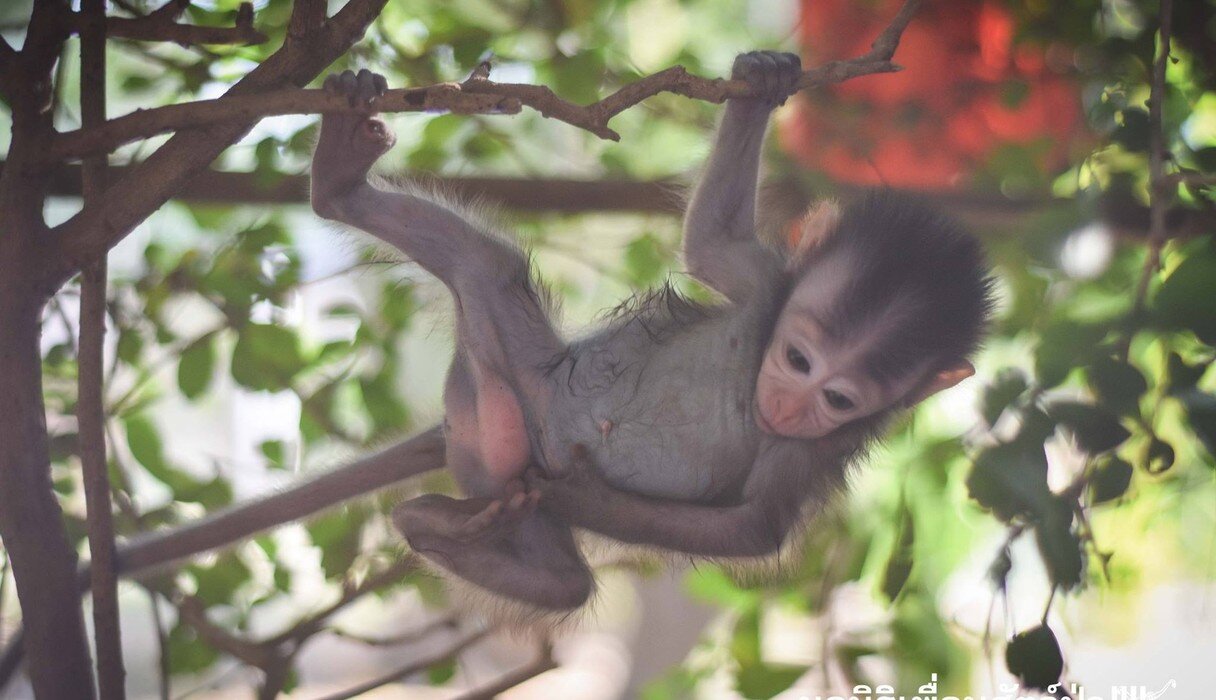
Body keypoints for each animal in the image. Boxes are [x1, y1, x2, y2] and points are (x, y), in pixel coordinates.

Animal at [302, 52, 994, 612]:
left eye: (839, 399)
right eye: (799, 359)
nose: (787, 407)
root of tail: (462, 427)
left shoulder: (818, 450)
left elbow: (753, 527)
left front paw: (583, 498)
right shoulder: (767, 283)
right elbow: (711, 242)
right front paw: (762, 82)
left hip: (501, 480)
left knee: (563, 585)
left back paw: (440, 528)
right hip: (517, 383)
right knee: (487, 268)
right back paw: (338, 182)